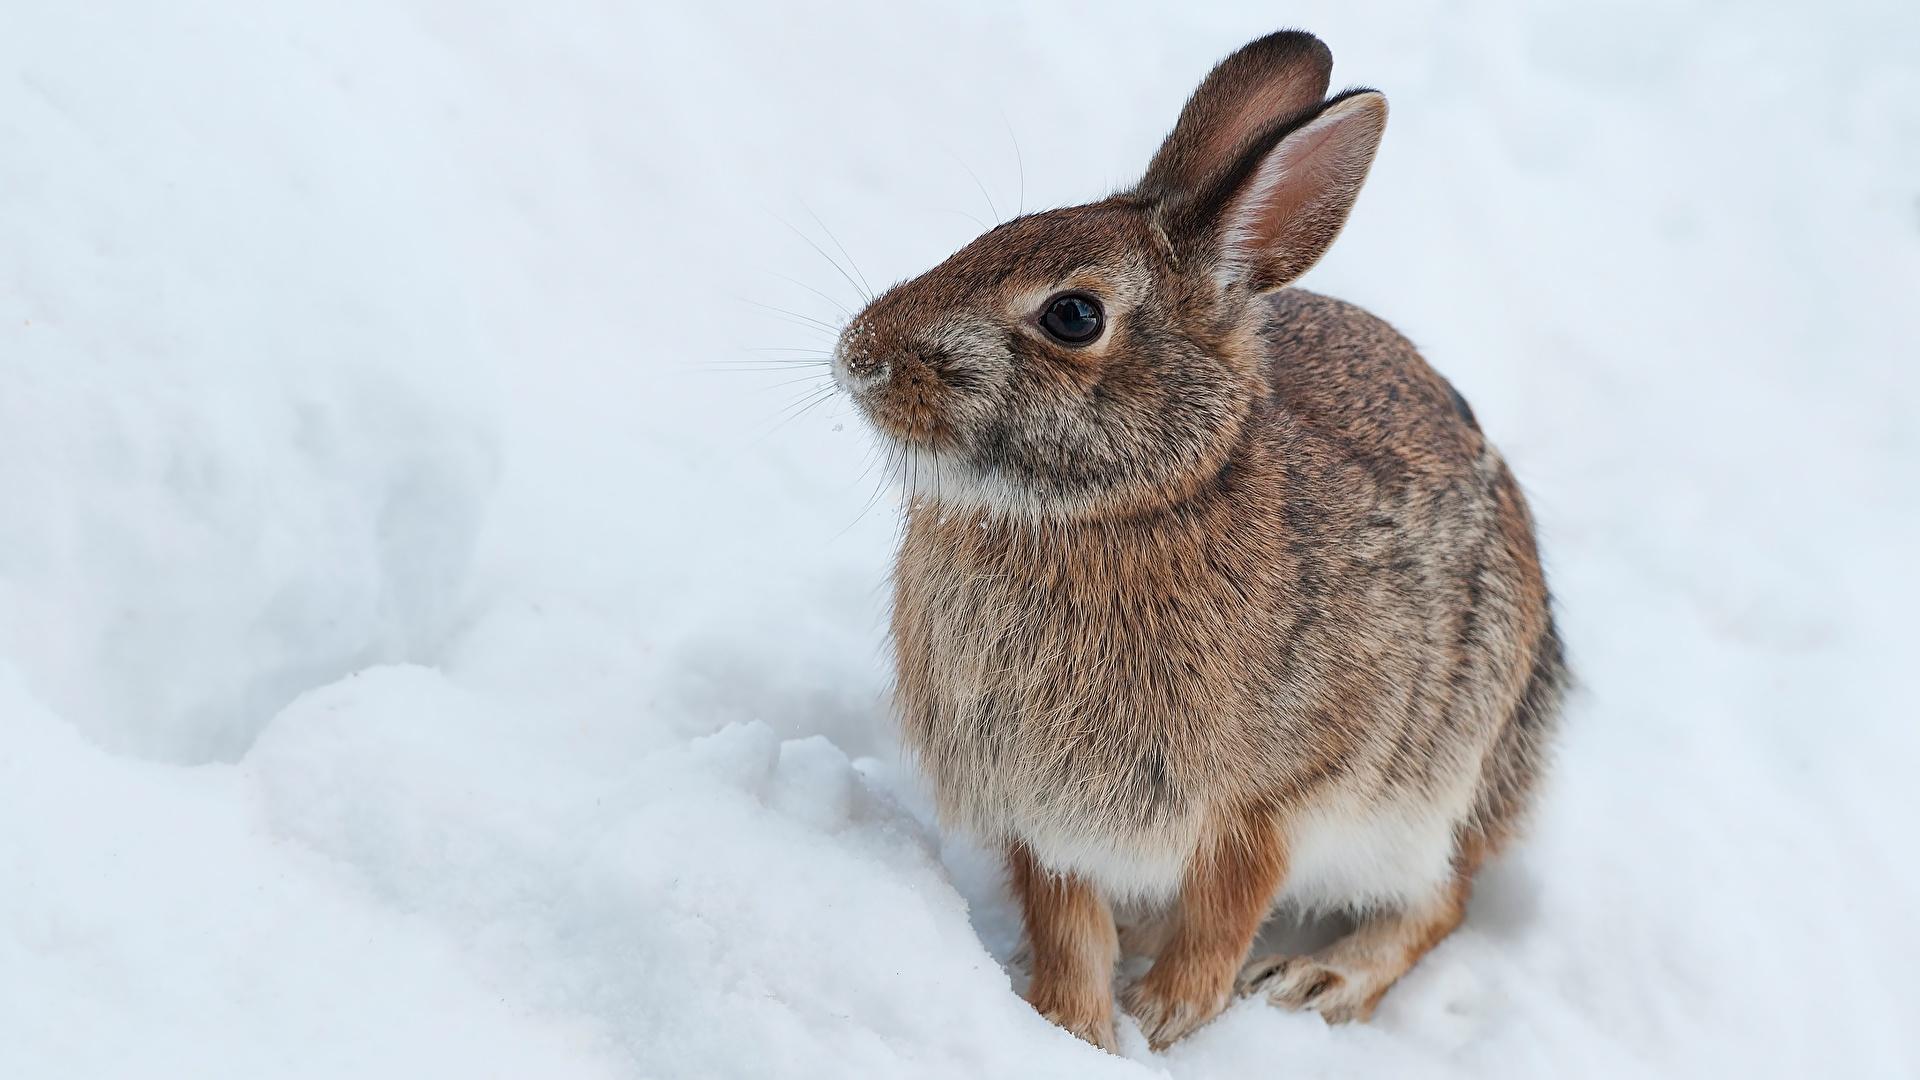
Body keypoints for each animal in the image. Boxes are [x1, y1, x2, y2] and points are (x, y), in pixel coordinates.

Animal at [829, 29, 1565, 1052]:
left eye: (1073, 315)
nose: (859, 356)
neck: (1122, 508)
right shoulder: (1040, 813)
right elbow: (1063, 917)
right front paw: (1073, 1025)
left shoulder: (1280, 792)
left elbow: (1231, 899)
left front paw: (1169, 1015)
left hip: (1435, 784)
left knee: (1441, 899)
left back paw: (1320, 979)